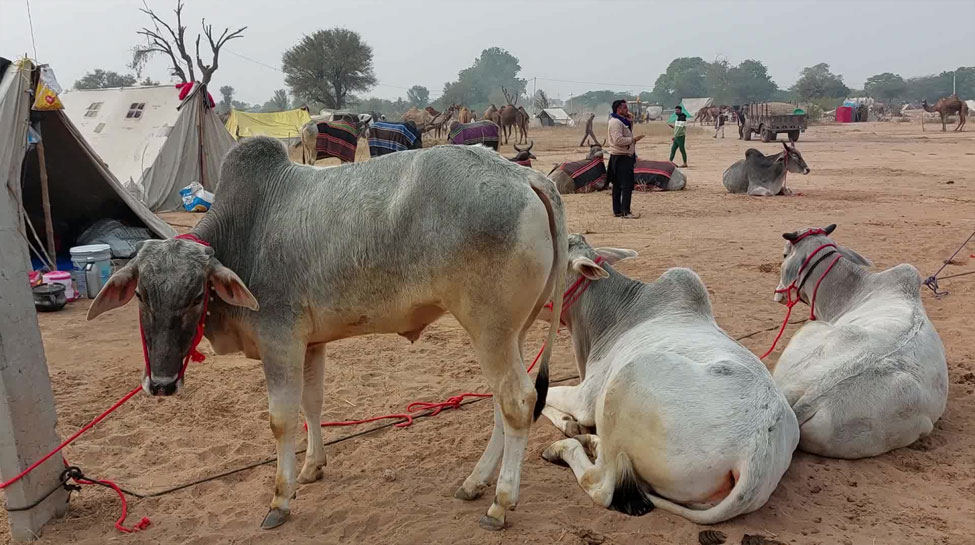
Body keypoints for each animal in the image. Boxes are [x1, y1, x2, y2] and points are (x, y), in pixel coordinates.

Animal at [87, 138, 569, 531]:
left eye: (194, 296)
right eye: (142, 295)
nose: (161, 384)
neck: (246, 230)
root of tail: (525, 176)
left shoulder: (279, 342)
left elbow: (281, 419)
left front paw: (280, 498)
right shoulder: (309, 345)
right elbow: (311, 405)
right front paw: (312, 468)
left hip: (489, 331)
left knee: (517, 402)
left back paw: (500, 503)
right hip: (511, 332)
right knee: (504, 406)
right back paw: (475, 482)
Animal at [538, 234, 799, 523]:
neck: (612, 319)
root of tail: (755, 458)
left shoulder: (585, 398)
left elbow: (542, 393)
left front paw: (567, 423)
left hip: (625, 379)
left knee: (600, 483)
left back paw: (563, 447)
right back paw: (592, 442)